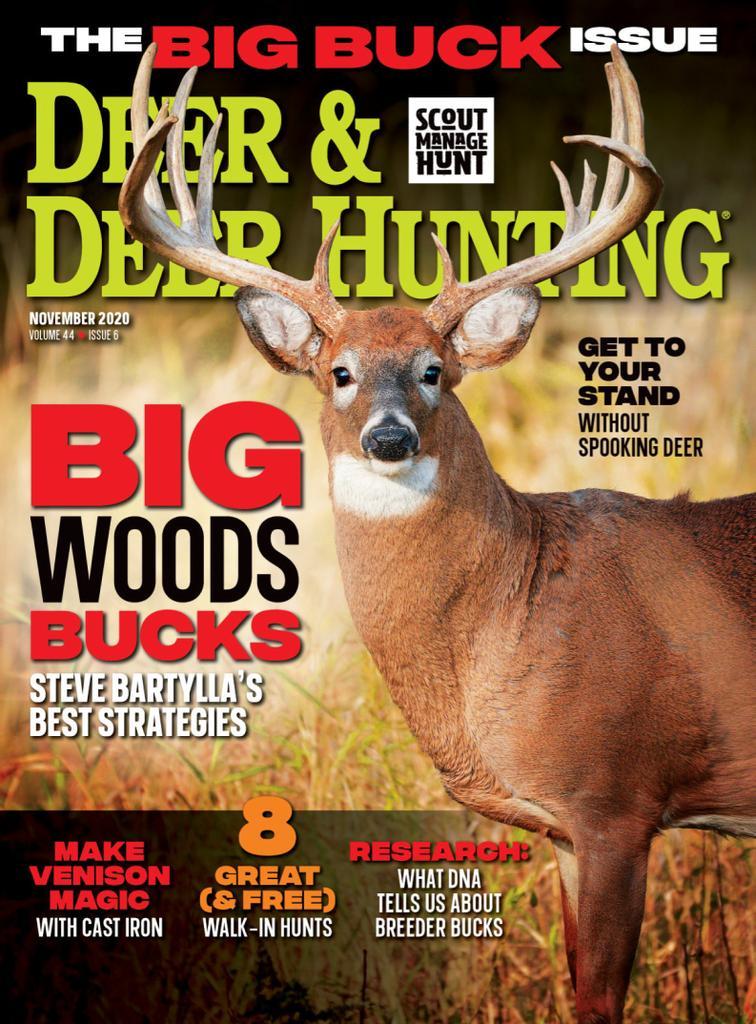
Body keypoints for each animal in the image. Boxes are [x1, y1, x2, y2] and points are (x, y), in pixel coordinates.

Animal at [120, 43, 755, 1024]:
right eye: (338, 372)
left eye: (432, 369)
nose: (389, 437)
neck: (509, 620)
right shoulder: (565, 832)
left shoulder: (615, 799)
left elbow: (599, 999)